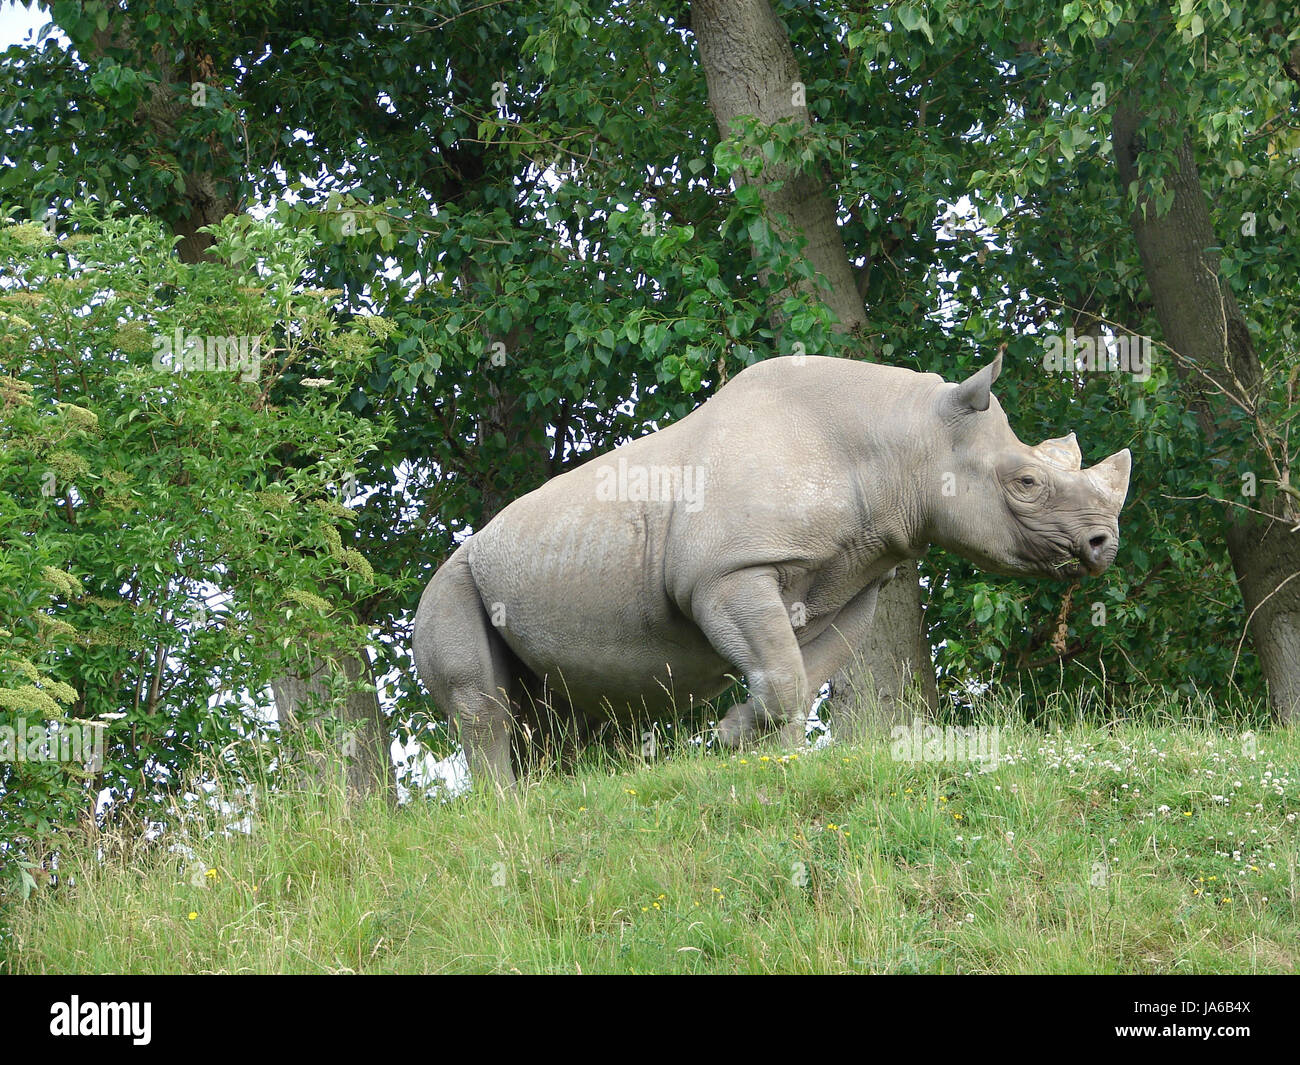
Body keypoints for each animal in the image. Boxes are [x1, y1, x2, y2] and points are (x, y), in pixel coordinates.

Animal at [413, 354, 1131, 787]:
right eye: (1027, 483)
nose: (1104, 544)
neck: (903, 442)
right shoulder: (727, 572)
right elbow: (783, 674)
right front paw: (731, 734)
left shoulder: (858, 580)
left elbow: (802, 676)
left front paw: (764, 752)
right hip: (450, 580)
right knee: (484, 703)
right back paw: (506, 807)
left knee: (554, 709)